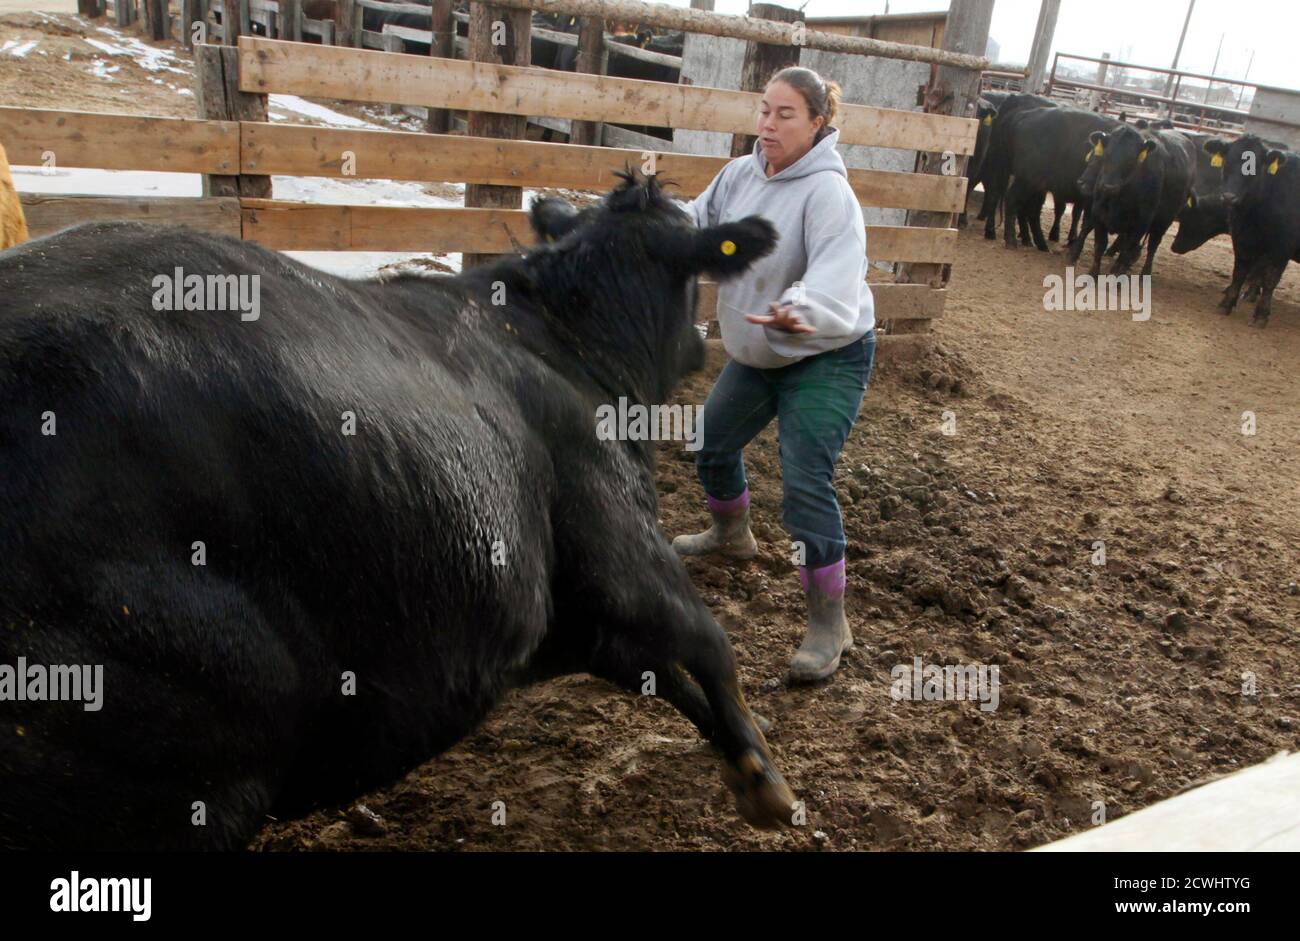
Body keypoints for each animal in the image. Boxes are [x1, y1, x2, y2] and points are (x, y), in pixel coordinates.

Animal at [0, 172, 796, 849]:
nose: (700, 344)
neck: (566, 346)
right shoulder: (622, 556)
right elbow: (710, 644)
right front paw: (768, 783)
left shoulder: (572, 619)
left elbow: (665, 671)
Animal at [1073, 125, 1196, 277]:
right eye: (1106, 156)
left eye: (1131, 161)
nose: (1108, 187)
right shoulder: (1098, 213)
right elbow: (1100, 245)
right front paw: (1093, 274)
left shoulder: (1141, 223)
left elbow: (1126, 251)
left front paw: (1117, 275)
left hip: (1164, 221)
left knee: (1152, 246)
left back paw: (1144, 272)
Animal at [1203, 136, 1300, 326]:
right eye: (1227, 162)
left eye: (1253, 168)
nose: (1229, 197)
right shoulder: (1241, 239)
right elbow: (1239, 272)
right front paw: (1226, 303)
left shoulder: (1282, 248)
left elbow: (1270, 279)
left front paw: (1261, 315)